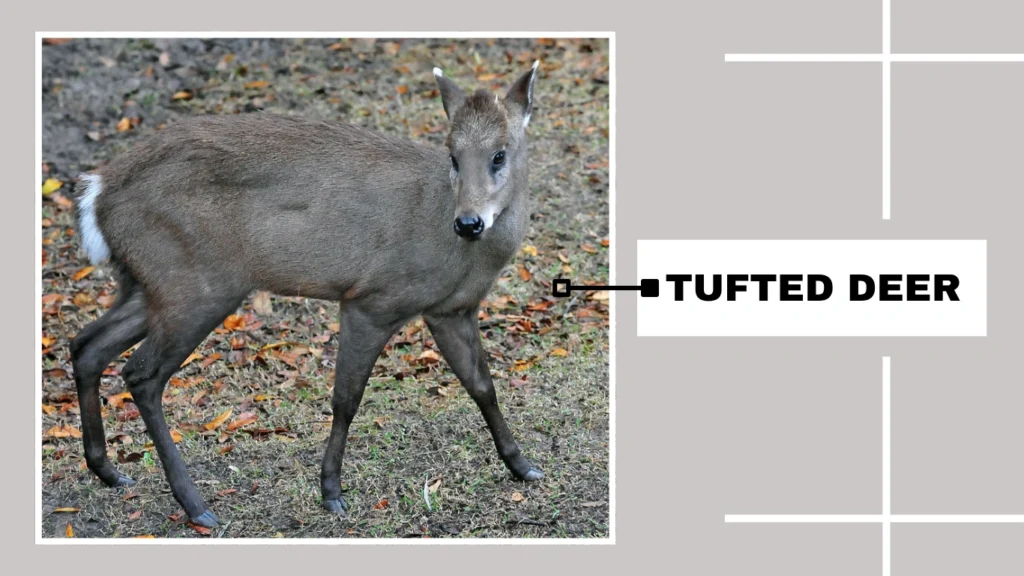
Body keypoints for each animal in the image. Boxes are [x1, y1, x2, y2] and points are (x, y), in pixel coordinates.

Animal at [68, 61, 544, 528]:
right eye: (453, 155)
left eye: (499, 153)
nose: (468, 222)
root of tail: (98, 194)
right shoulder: (374, 299)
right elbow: (346, 399)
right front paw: (331, 491)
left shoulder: (451, 309)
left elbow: (482, 385)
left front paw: (523, 466)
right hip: (195, 285)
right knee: (141, 373)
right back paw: (196, 505)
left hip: (152, 285)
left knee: (86, 344)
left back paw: (109, 471)